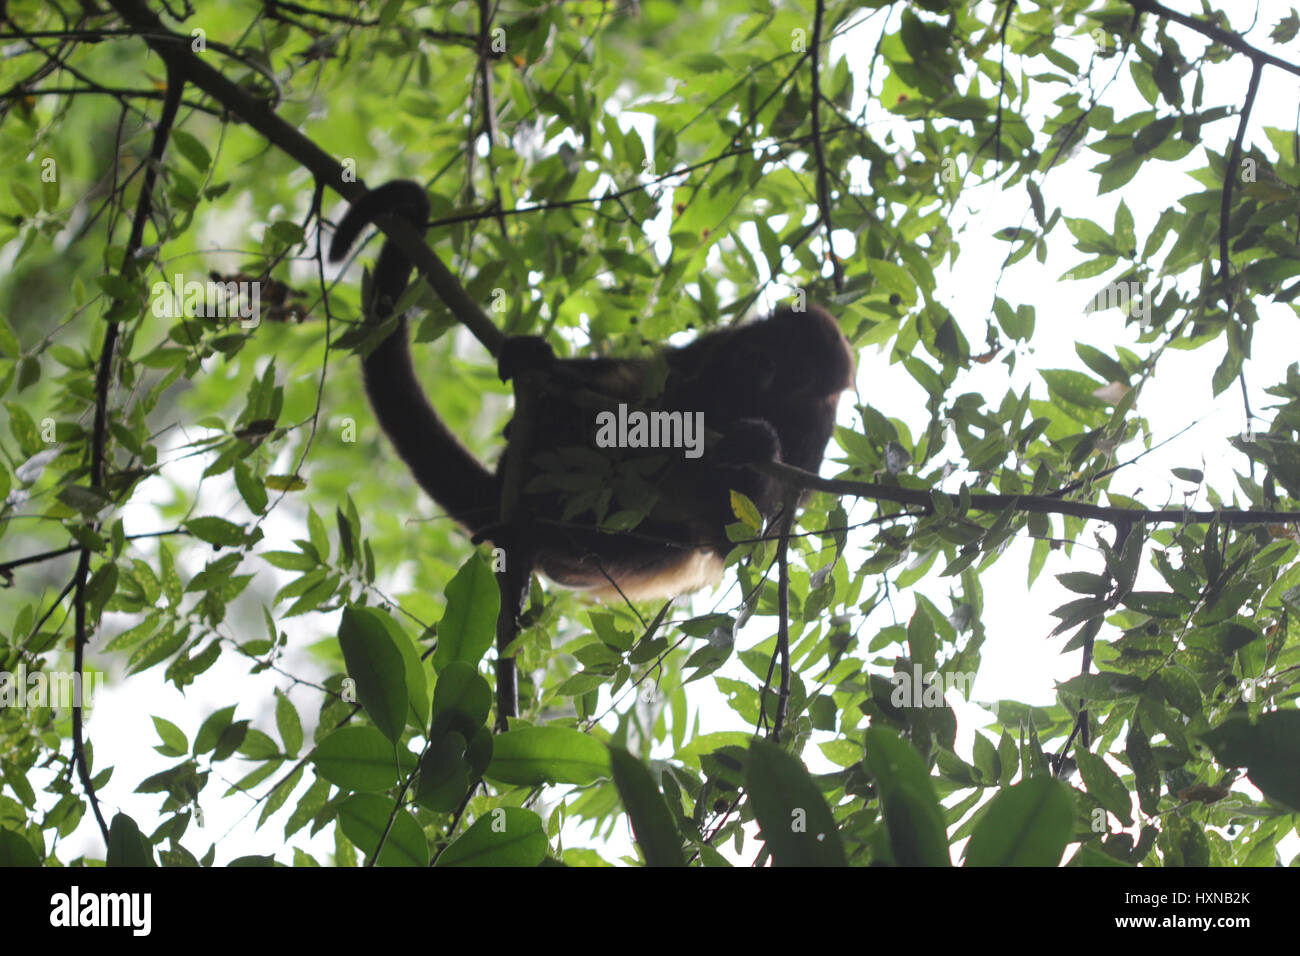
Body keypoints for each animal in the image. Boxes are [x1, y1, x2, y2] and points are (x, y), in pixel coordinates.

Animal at [328, 179, 855, 604]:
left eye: (796, 373)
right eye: (781, 349)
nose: (762, 363)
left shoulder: (810, 439)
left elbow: (745, 531)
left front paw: (752, 443)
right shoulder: (721, 342)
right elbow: (665, 377)